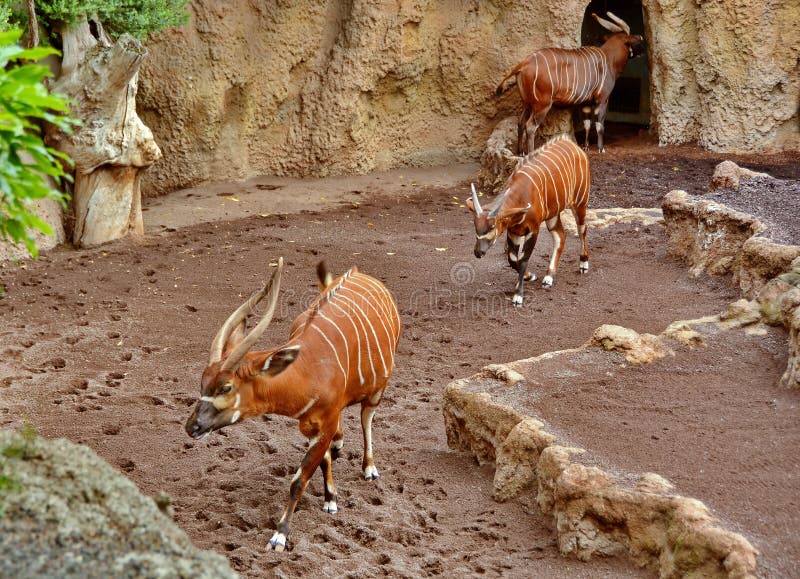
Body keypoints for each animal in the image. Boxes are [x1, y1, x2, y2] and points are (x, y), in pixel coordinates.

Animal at [185, 258, 401, 552]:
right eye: (202, 382)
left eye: (226, 387)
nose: (192, 427)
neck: (307, 368)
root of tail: (361, 274)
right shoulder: (311, 425)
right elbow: (323, 460)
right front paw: (331, 499)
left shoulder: (325, 422)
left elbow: (299, 479)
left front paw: (279, 535)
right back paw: (341, 443)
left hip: (379, 388)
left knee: (367, 417)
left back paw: (369, 467)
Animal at [467, 135, 590, 305]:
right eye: (475, 225)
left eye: (492, 226)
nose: (478, 252)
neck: (521, 196)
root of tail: (575, 146)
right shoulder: (514, 232)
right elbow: (513, 259)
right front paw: (529, 277)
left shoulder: (533, 230)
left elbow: (523, 259)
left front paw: (518, 296)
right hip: (553, 214)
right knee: (560, 235)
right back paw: (549, 277)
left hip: (579, 202)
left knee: (582, 229)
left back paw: (583, 264)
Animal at [495, 11, 645, 154]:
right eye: (636, 39)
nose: (642, 49)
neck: (609, 58)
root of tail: (523, 64)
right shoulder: (602, 99)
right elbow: (599, 124)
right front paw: (601, 148)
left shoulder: (586, 103)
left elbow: (587, 123)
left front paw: (586, 147)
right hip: (542, 105)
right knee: (530, 126)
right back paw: (529, 154)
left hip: (527, 103)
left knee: (520, 123)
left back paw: (520, 152)